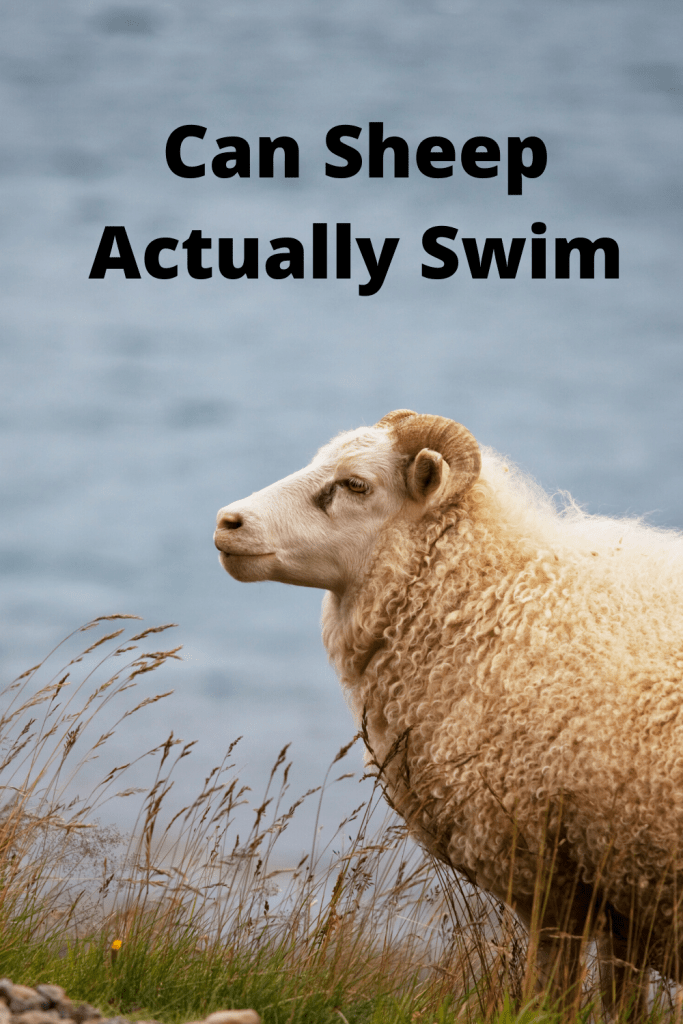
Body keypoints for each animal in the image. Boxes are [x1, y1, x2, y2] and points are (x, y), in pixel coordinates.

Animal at [214, 409, 683, 1012]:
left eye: (356, 485)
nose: (229, 522)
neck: (497, 604)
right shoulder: (622, 896)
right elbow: (621, 1000)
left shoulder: (547, 874)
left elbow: (547, 997)